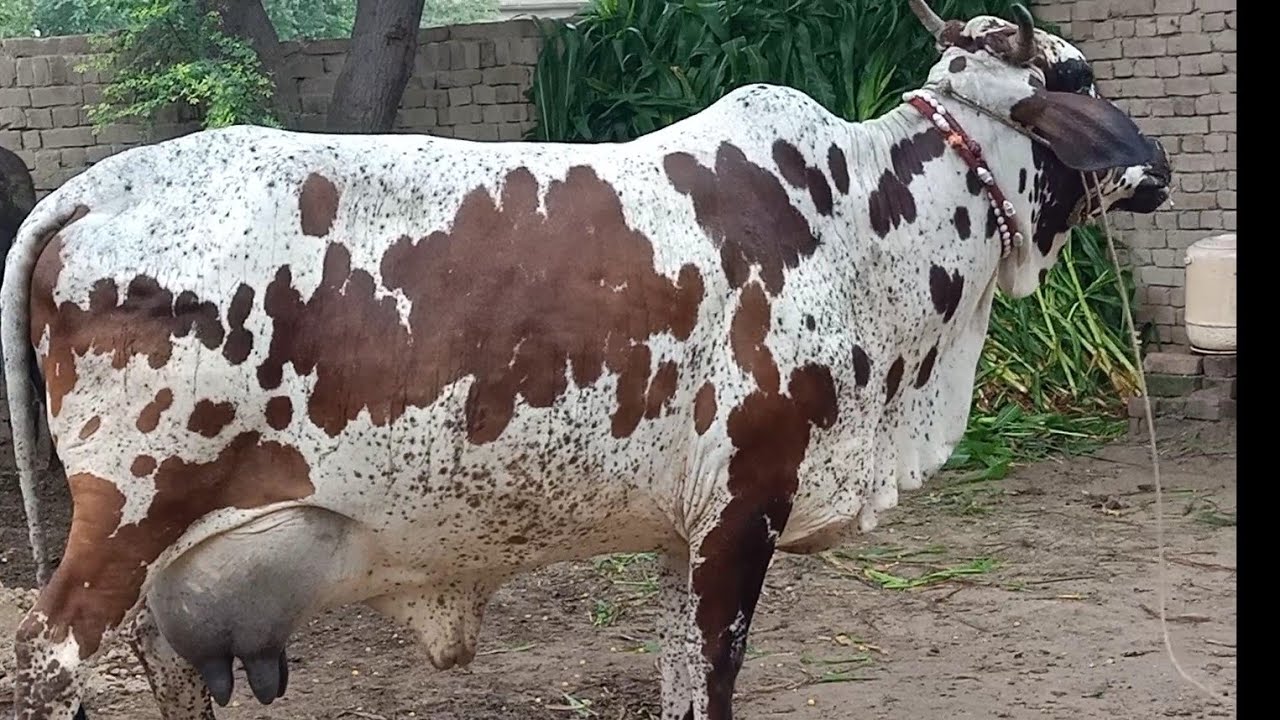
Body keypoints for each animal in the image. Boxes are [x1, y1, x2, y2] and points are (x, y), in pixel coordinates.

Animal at [3, 2, 1172, 719]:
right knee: (47, 667)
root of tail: (93, 188)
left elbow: (677, 680)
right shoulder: (745, 507)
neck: (859, 218)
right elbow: (710, 681)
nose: (1156, 163)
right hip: (122, 521)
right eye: (1075, 74)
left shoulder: (686, 530)